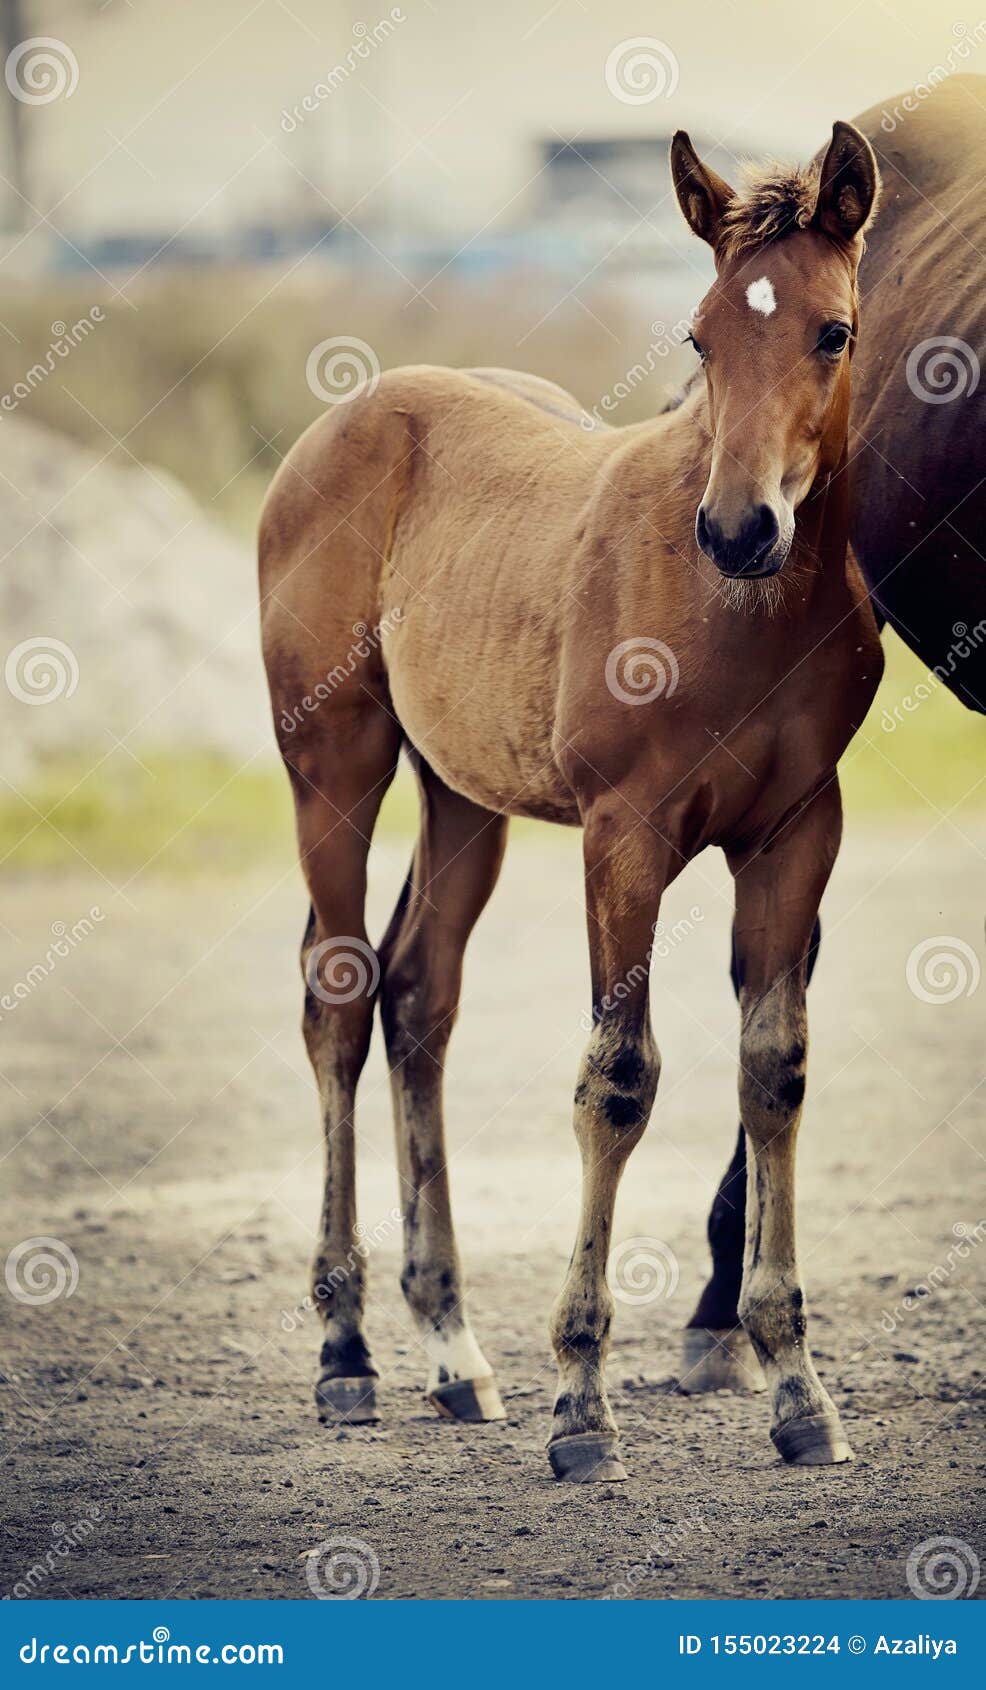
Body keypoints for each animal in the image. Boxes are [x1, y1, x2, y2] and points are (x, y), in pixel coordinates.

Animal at [259, 121, 883, 1482]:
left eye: (831, 330)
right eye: (698, 335)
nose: (738, 527)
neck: (739, 611)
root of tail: (349, 415)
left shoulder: (797, 832)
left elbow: (775, 1070)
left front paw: (795, 1387)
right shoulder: (624, 833)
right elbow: (618, 1076)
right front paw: (582, 1405)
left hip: (462, 795)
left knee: (417, 992)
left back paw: (454, 1355)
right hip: (333, 759)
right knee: (336, 996)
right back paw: (345, 1352)